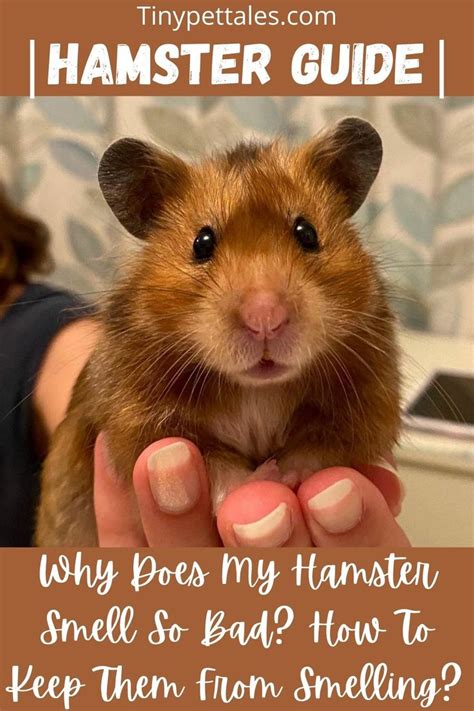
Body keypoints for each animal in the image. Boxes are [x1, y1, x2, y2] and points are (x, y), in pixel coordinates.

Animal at [35, 117, 400, 546]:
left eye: (307, 232)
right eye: (202, 243)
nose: (265, 318)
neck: (257, 389)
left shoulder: (369, 406)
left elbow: (315, 451)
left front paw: (282, 474)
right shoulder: (137, 421)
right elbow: (216, 468)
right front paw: (264, 478)